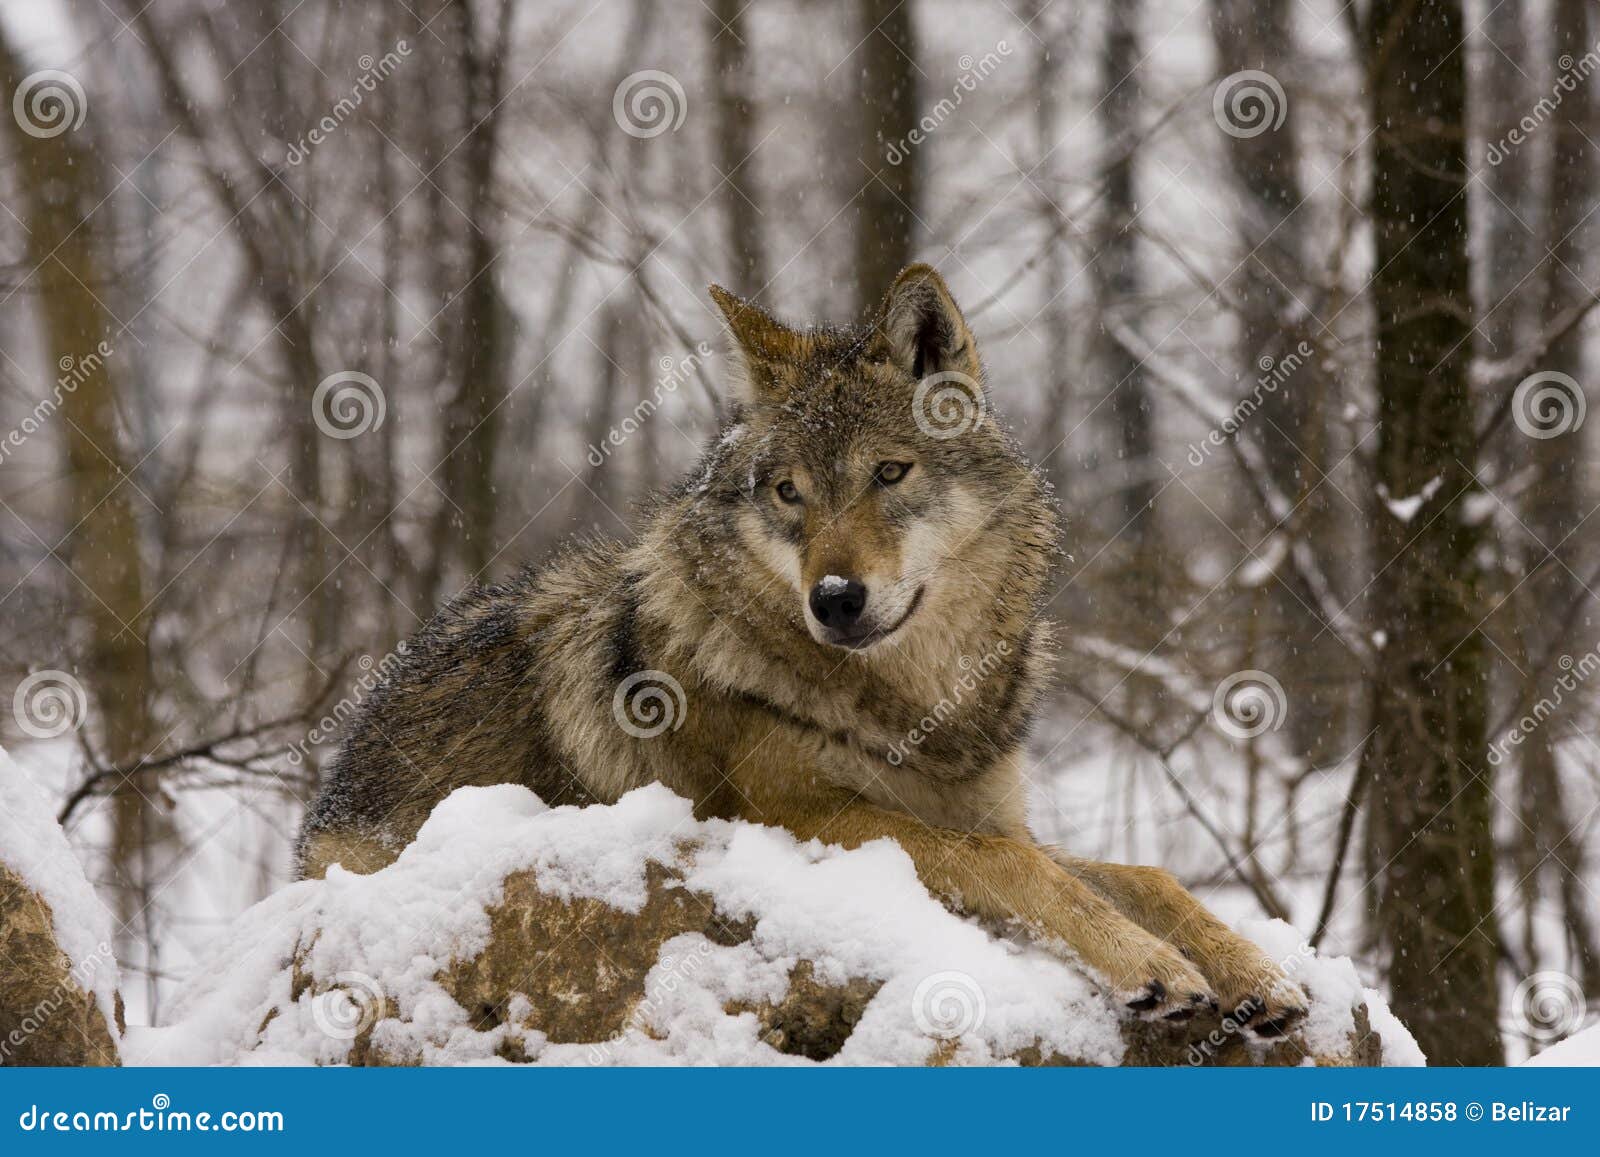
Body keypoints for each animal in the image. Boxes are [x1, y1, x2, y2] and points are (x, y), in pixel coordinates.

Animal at [296, 264, 1308, 1034]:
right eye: (788, 491)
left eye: (890, 473)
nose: (835, 599)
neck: (917, 706)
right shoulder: (802, 818)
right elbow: (1013, 867)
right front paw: (1150, 964)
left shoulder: (993, 812)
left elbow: (1142, 873)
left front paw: (1252, 968)